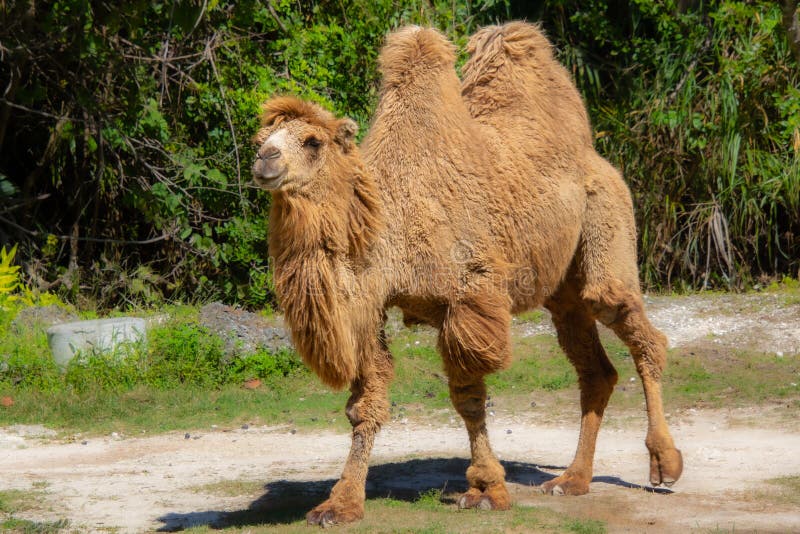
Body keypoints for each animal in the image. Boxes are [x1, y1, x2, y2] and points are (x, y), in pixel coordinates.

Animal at [251, 22, 683, 526]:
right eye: (264, 136)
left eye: (312, 142)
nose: (264, 160)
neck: (391, 220)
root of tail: (598, 159)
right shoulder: (371, 306)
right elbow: (366, 405)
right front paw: (339, 504)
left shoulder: (467, 299)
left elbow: (468, 397)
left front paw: (486, 490)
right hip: (562, 291)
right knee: (595, 369)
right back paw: (571, 480)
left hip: (606, 228)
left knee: (635, 326)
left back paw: (664, 463)